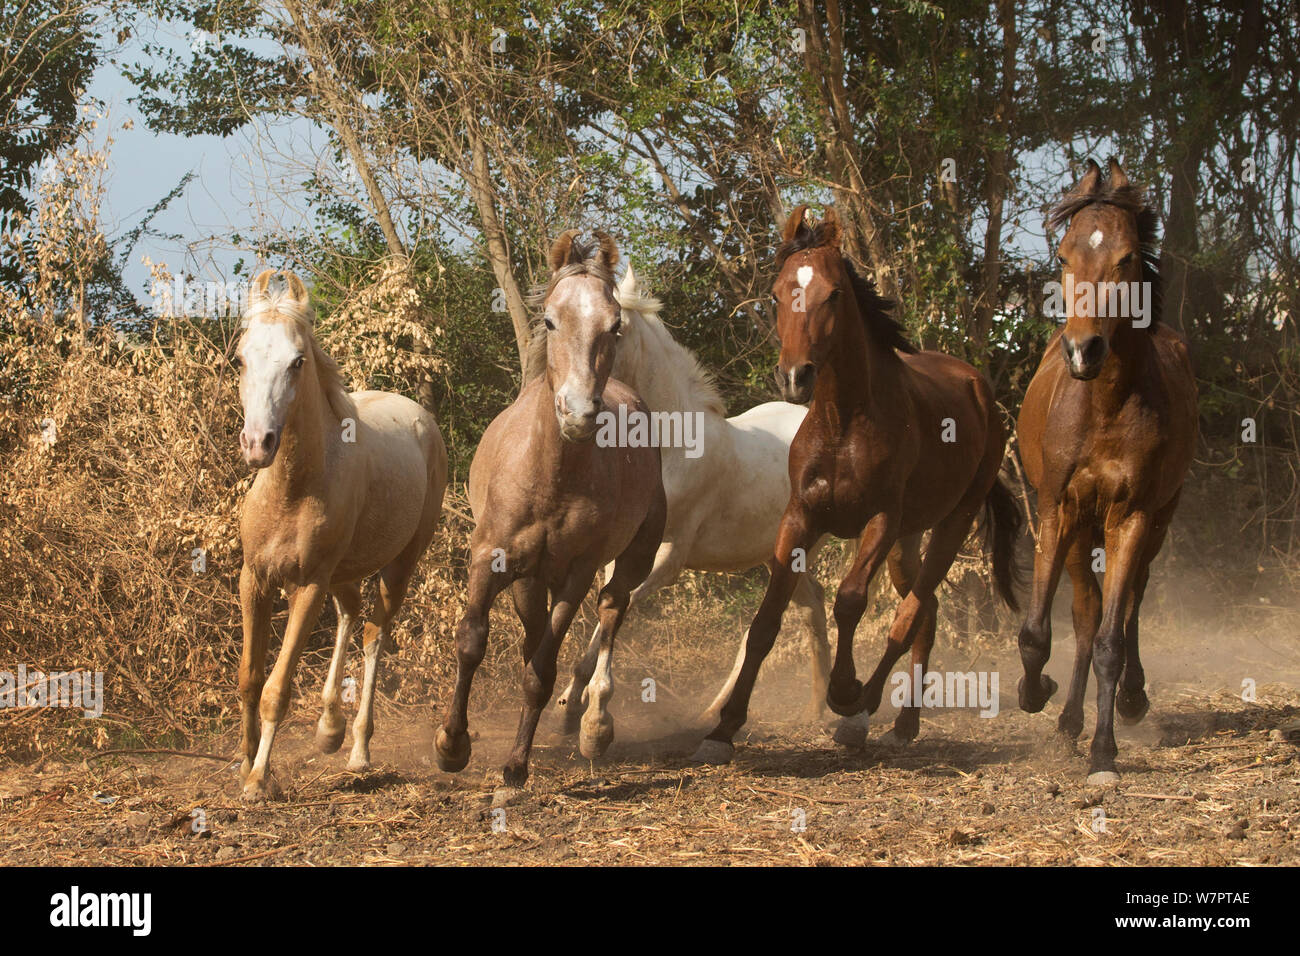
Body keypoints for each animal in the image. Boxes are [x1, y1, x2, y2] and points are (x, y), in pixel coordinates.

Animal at [233, 269, 448, 802]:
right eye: (241, 358)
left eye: (297, 361)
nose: (258, 444)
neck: (292, 489)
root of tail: (420, 416)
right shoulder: (254, 579)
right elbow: (249, 678)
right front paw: (244, 762)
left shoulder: (307, 585)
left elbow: (276, 689)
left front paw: (258, 780)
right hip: (344, 573)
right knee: (350, 616)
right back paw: (329, 729)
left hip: (398, 567)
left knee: (373, 635)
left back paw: (358, 750)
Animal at [433, 231, 667, 797]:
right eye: (551, 320)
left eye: (614, 324)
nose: (578, 413)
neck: (549, 476)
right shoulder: (491, 561)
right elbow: (471, 642)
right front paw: (451, 746)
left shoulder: (574, 575)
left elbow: (541, 669)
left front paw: (515, 766)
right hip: (527, 579)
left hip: (633, 558)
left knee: (611, 611)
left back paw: (593, 727)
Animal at [553, 264, 831, 733]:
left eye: (616, 327)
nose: (572, 406)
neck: (672, 448)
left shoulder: (665, 560)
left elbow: (612, 608)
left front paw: (576, 705)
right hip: (777, 556)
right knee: (812, 608)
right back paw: (815, 709)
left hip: (796, 552)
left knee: (767, 625)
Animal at [693, 206, 1023, 764]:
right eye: (777, 294)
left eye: (833, 294)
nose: (796, 377)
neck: (843, 423)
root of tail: (977, 384)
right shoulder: (800, 519)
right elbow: (766, 621)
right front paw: (723, 728)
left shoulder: (880, 519)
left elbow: (849, 601)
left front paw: (844, 692)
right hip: (908, 541)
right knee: (927, 612)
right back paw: (904, 725)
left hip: (951, 523)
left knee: (910, 614)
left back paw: (862, 711)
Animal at [1015, 159, 1198, 785]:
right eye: (1063, 255)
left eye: (1125, 257)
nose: (1083, 351)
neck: (1106, 407)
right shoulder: (1057, 511)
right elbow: (1039, 632)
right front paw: (1036, 692)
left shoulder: (1133, 517)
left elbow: (1112, 642)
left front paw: (1104, 751)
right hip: (1078, 531)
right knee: (1086, 611)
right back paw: (1068, 718)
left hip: (1156, 522)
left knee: (1129, 603)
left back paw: (1129, 703)